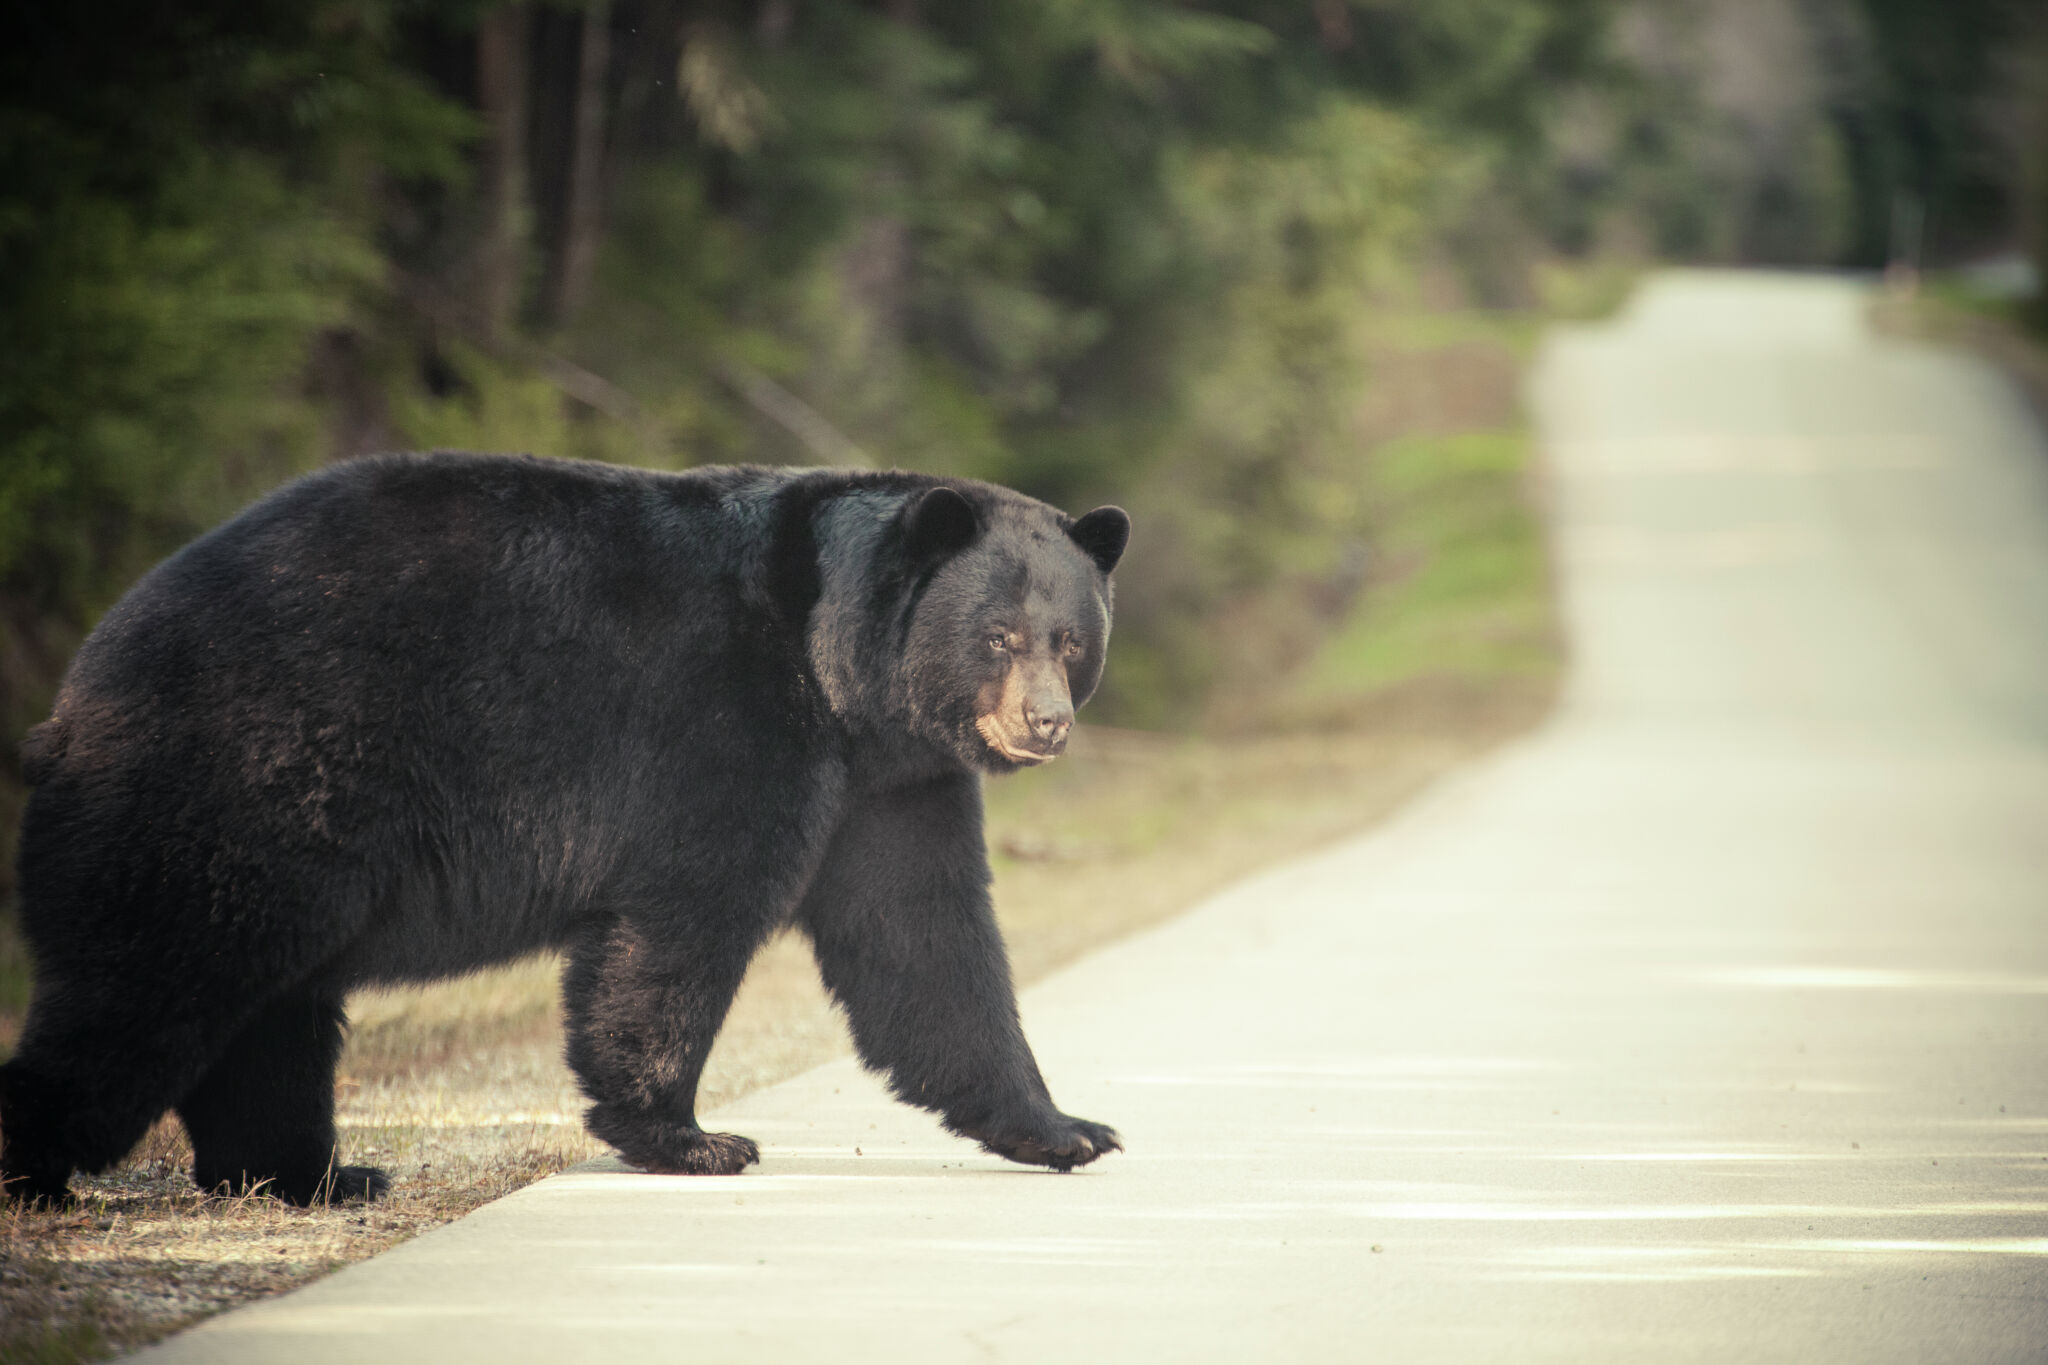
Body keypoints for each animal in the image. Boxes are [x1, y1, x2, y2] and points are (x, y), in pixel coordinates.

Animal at [0, 451, 1130, 1206]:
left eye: (1071, 639)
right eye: (998, 636)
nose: (1045, 722)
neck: (839, 673)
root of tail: (71, 702)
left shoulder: (890, 782)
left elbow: (925, 942)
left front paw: (1068, 1128)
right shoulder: (729, 717)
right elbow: (686, 915)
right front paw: (689, 1136)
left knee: (267, 1015)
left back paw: (310, 1173)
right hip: (239, 786)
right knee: (147, 990)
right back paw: (39, 1169)